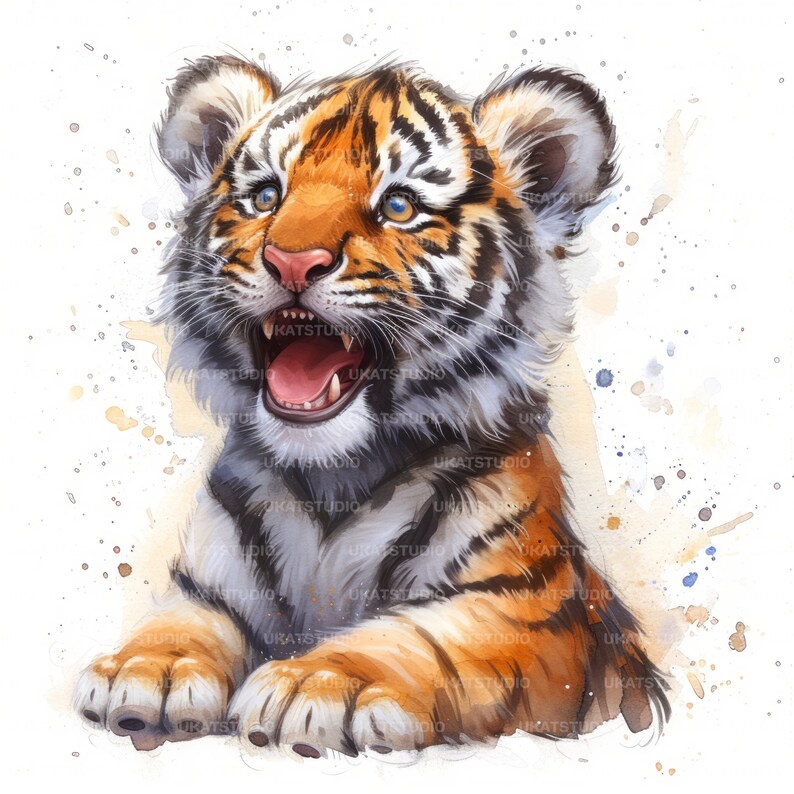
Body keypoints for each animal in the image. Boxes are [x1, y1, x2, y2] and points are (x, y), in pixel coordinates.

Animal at [73, 55, 669, 757]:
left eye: (398, 206)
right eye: (266, 197)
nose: (291, 260)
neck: (331, 483)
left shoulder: (517, 610)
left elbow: (418, 640)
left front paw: (319, 683)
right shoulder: (210, 591)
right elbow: (178, 623)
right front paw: (146, 669)